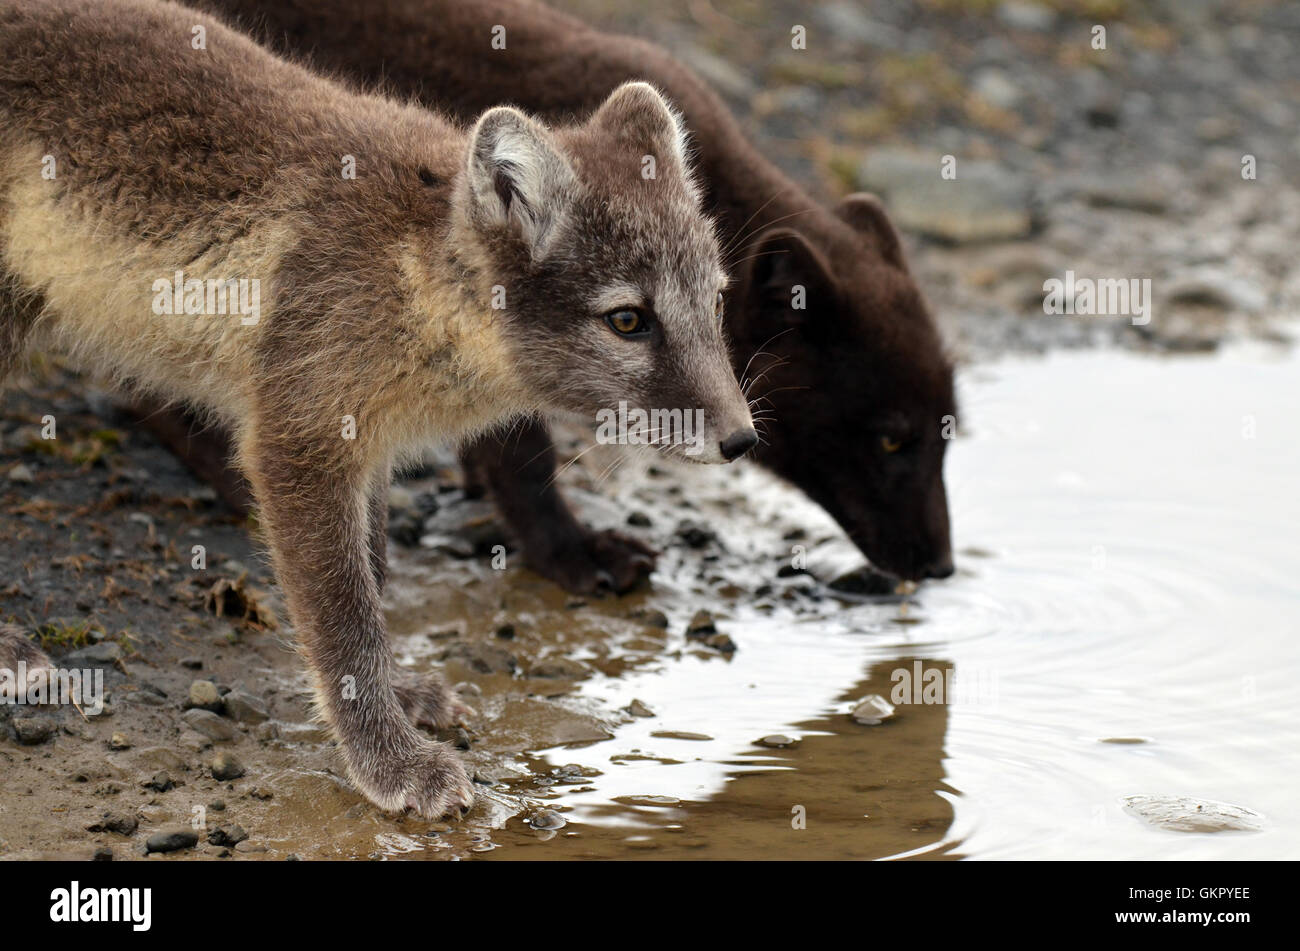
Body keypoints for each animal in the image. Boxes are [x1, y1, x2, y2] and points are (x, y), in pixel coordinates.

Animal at [0, 0, 752, 816]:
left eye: (718, 300)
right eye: (627, 320)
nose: (742, 440)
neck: (412, 273)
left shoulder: (368, 450)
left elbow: (377, 577)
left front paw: (402, 696)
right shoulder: (296, 442)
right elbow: (344, 617)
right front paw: (393, 763)